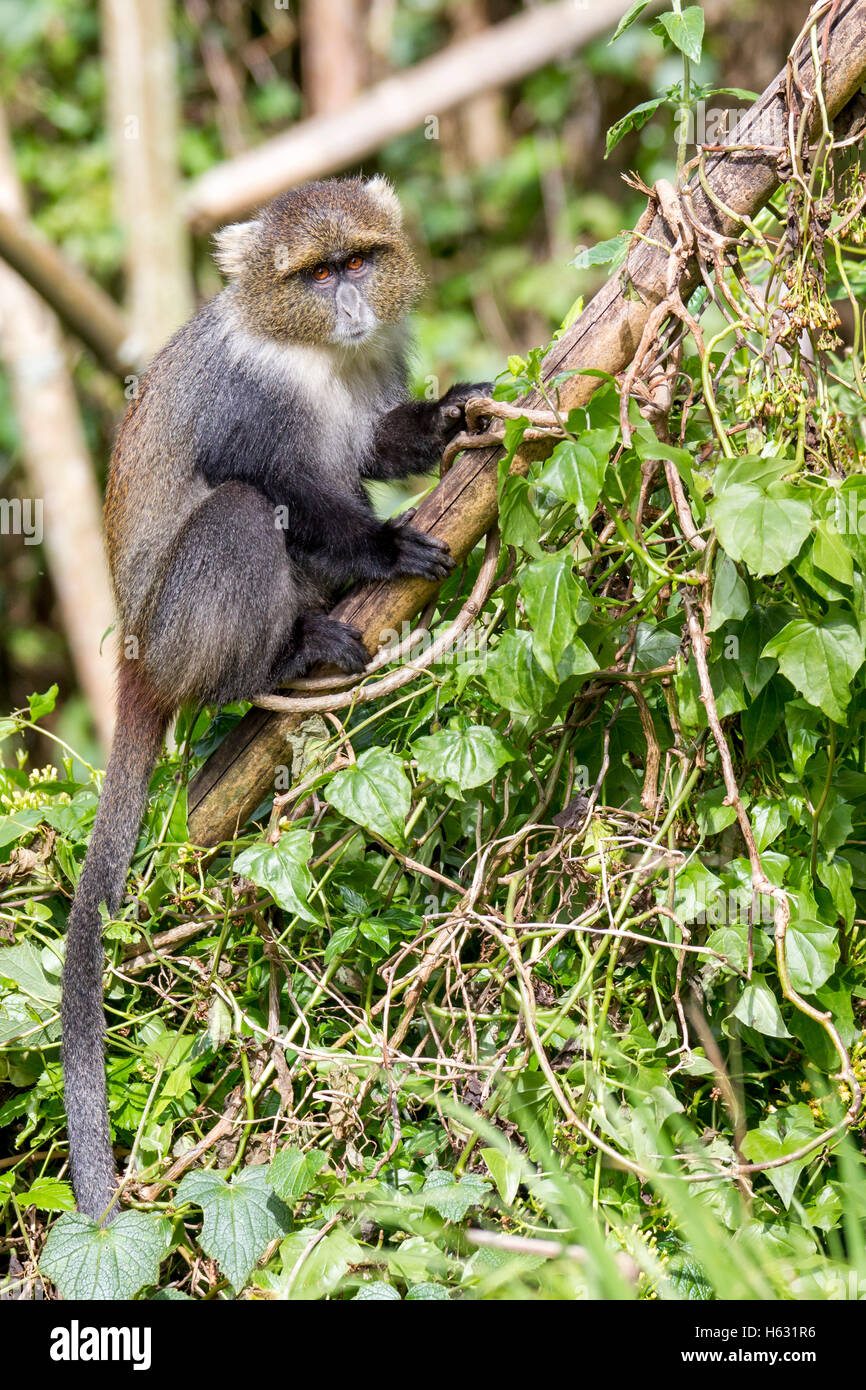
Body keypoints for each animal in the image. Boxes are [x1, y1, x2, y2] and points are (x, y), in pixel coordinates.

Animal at [61, 175, 491, 1224]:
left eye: (360, 260)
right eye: (317, 274)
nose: (352, 301)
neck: (315, 354)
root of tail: (140, 659)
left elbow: (372, 446)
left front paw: (450, 416)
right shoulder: (252, 403)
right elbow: (282, 486)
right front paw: (385, 548)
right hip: (186, 626)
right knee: (246, 513)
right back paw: (289, 658)